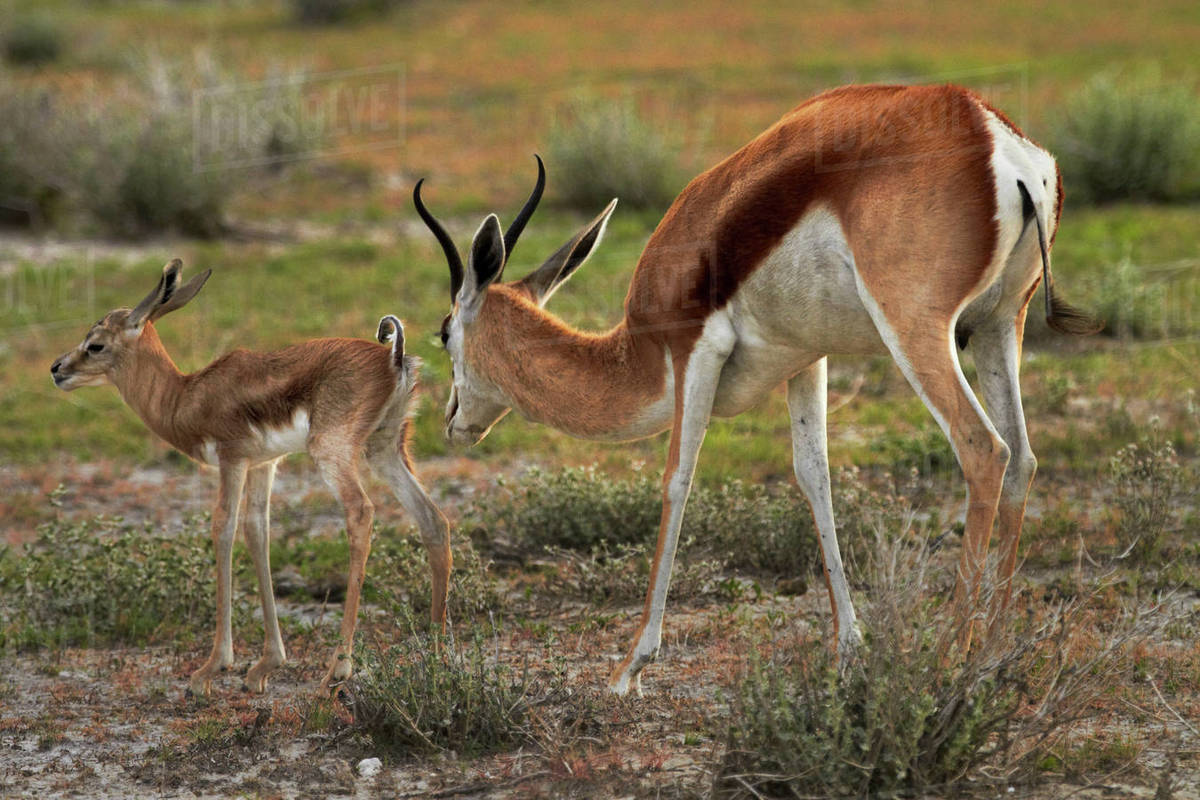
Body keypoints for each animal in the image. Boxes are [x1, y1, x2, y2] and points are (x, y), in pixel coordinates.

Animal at [50, 259, 451, 697]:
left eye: (96, 344)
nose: (57, 369)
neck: (186, 396)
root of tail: (393, 356)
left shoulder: (232, 459)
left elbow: (223, 529)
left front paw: (210, 669)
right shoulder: (263, 464)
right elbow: (258, 533)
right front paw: (264, 667)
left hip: (332, 452)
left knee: (361, 512)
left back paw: (337, 670)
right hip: (384, 449)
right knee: (433, 519)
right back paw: (435, 658)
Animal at [412, 83, 1102, 696]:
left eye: (444, 333)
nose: (452, 420)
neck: (639, 346)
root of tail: (996, 136)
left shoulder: (693, 353)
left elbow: (677, 481)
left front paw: (629, 669)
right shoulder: (805, 359)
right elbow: (814, 479)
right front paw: (849, 648)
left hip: (916, 330)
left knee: (984, 450)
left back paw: (947, 661)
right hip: (997, 325)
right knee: (1023, 457)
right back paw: (991, 657)